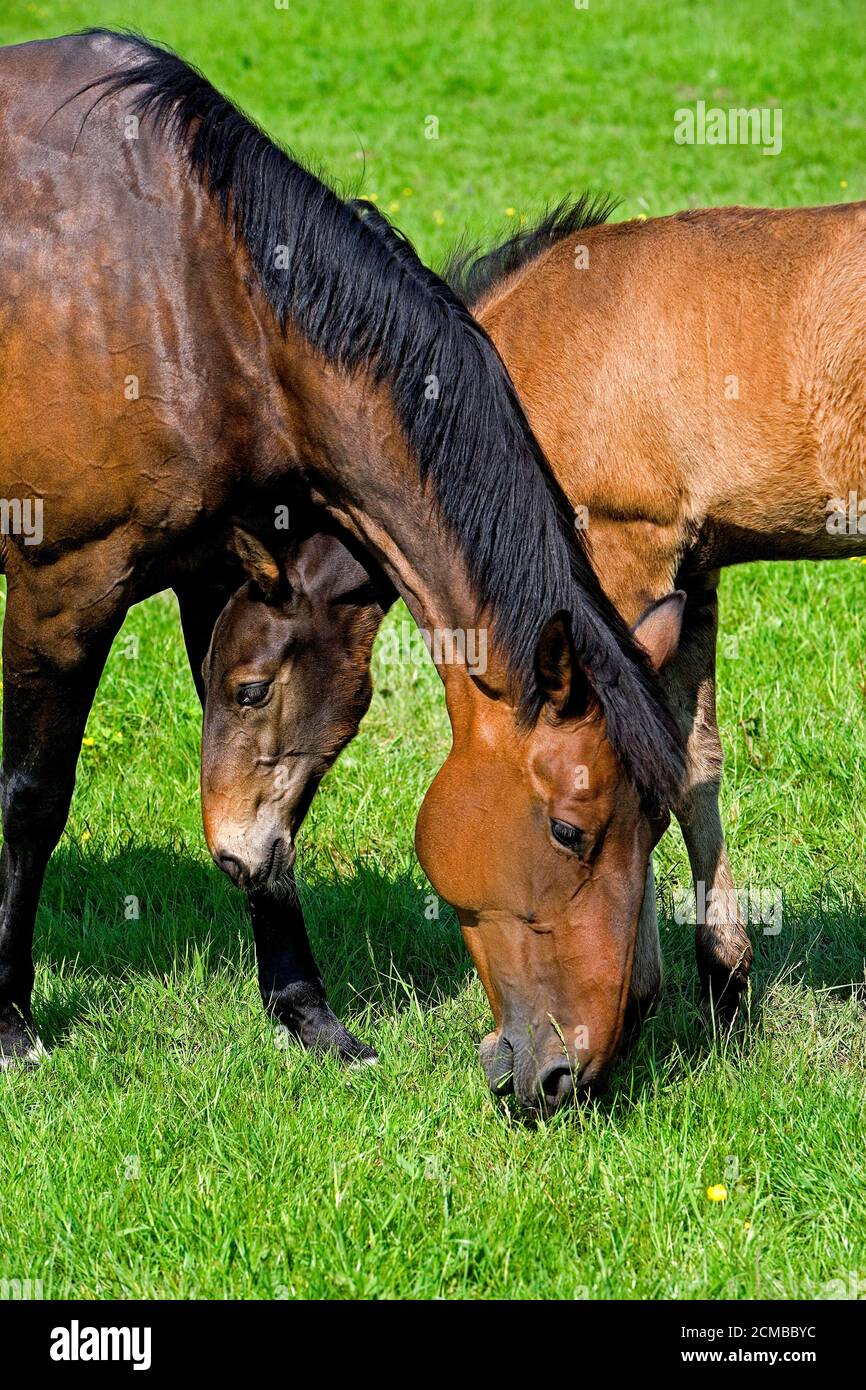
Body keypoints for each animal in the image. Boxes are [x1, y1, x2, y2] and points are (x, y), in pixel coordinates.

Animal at [0, 31, 683, 1110]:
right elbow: (32, 798)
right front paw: (11, 1022)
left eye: (657, 827)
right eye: (570, 830)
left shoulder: (228, 580)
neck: (195, 291)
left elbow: (266, 803)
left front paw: (306, 1014)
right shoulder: (62, 585)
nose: (576, 1069)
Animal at [203, 192, 866, 1086]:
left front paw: (636, 1004)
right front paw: (725, 996)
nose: (231, 850)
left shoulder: (625, 545)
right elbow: (693, 764)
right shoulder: (695, 570)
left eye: (248, 688)